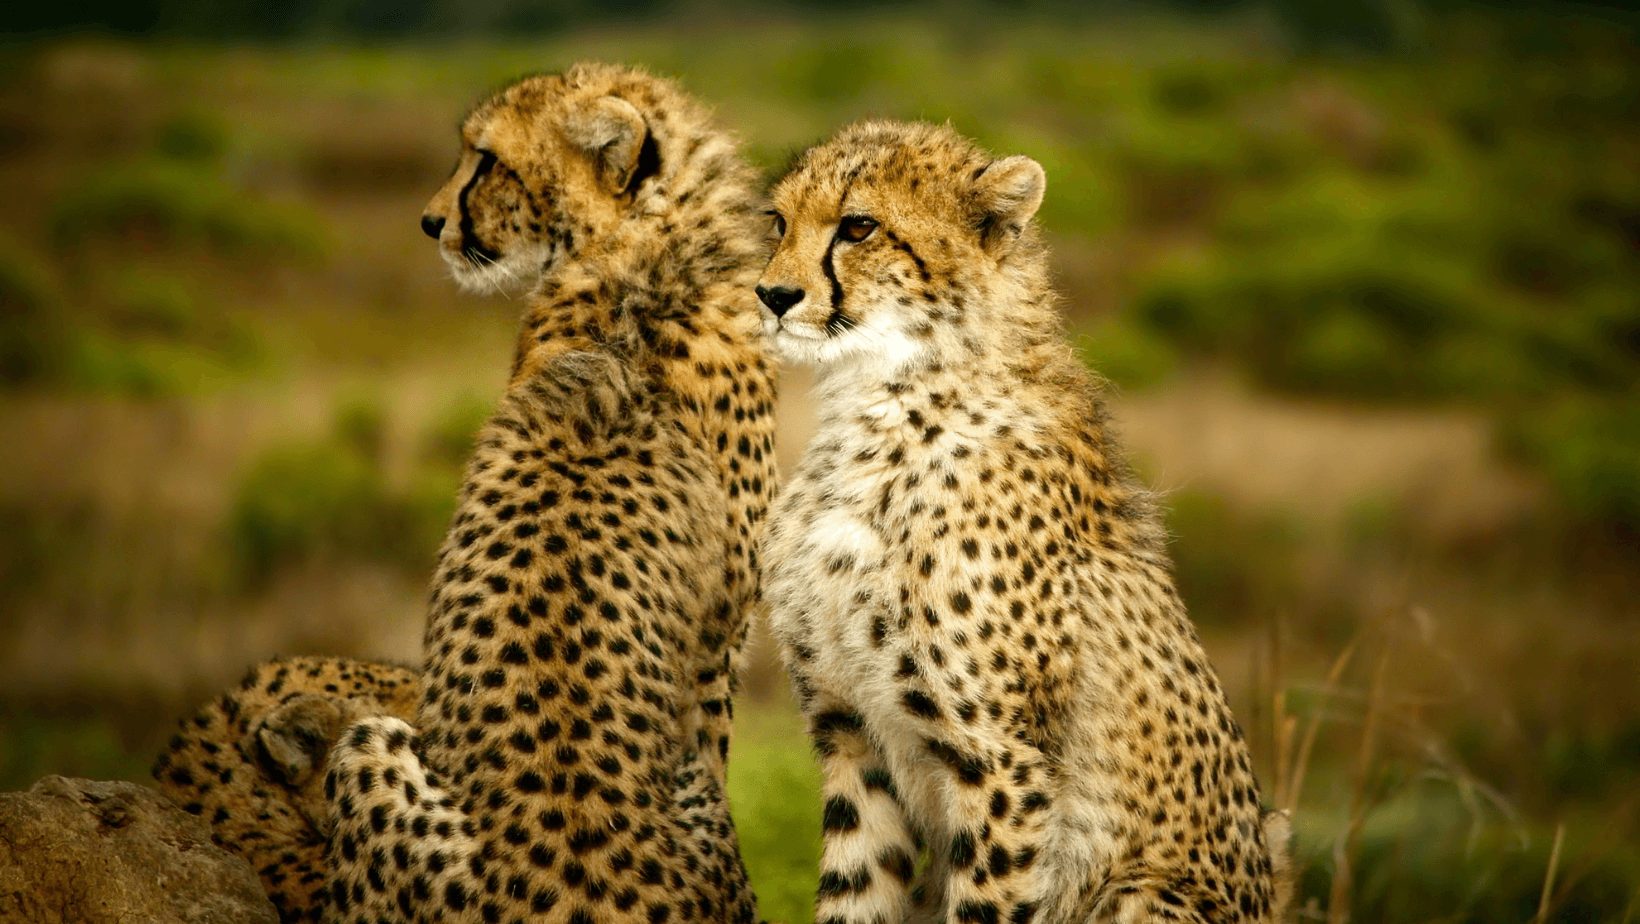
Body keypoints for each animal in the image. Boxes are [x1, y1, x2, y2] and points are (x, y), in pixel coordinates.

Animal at [755, 120, 1292, 924]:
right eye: (778, 221)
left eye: (858, 227)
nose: (773, 294)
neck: (879, 400)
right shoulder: (851, 736)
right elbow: (856, 895)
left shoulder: (1003, 762)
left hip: (1142, 892)